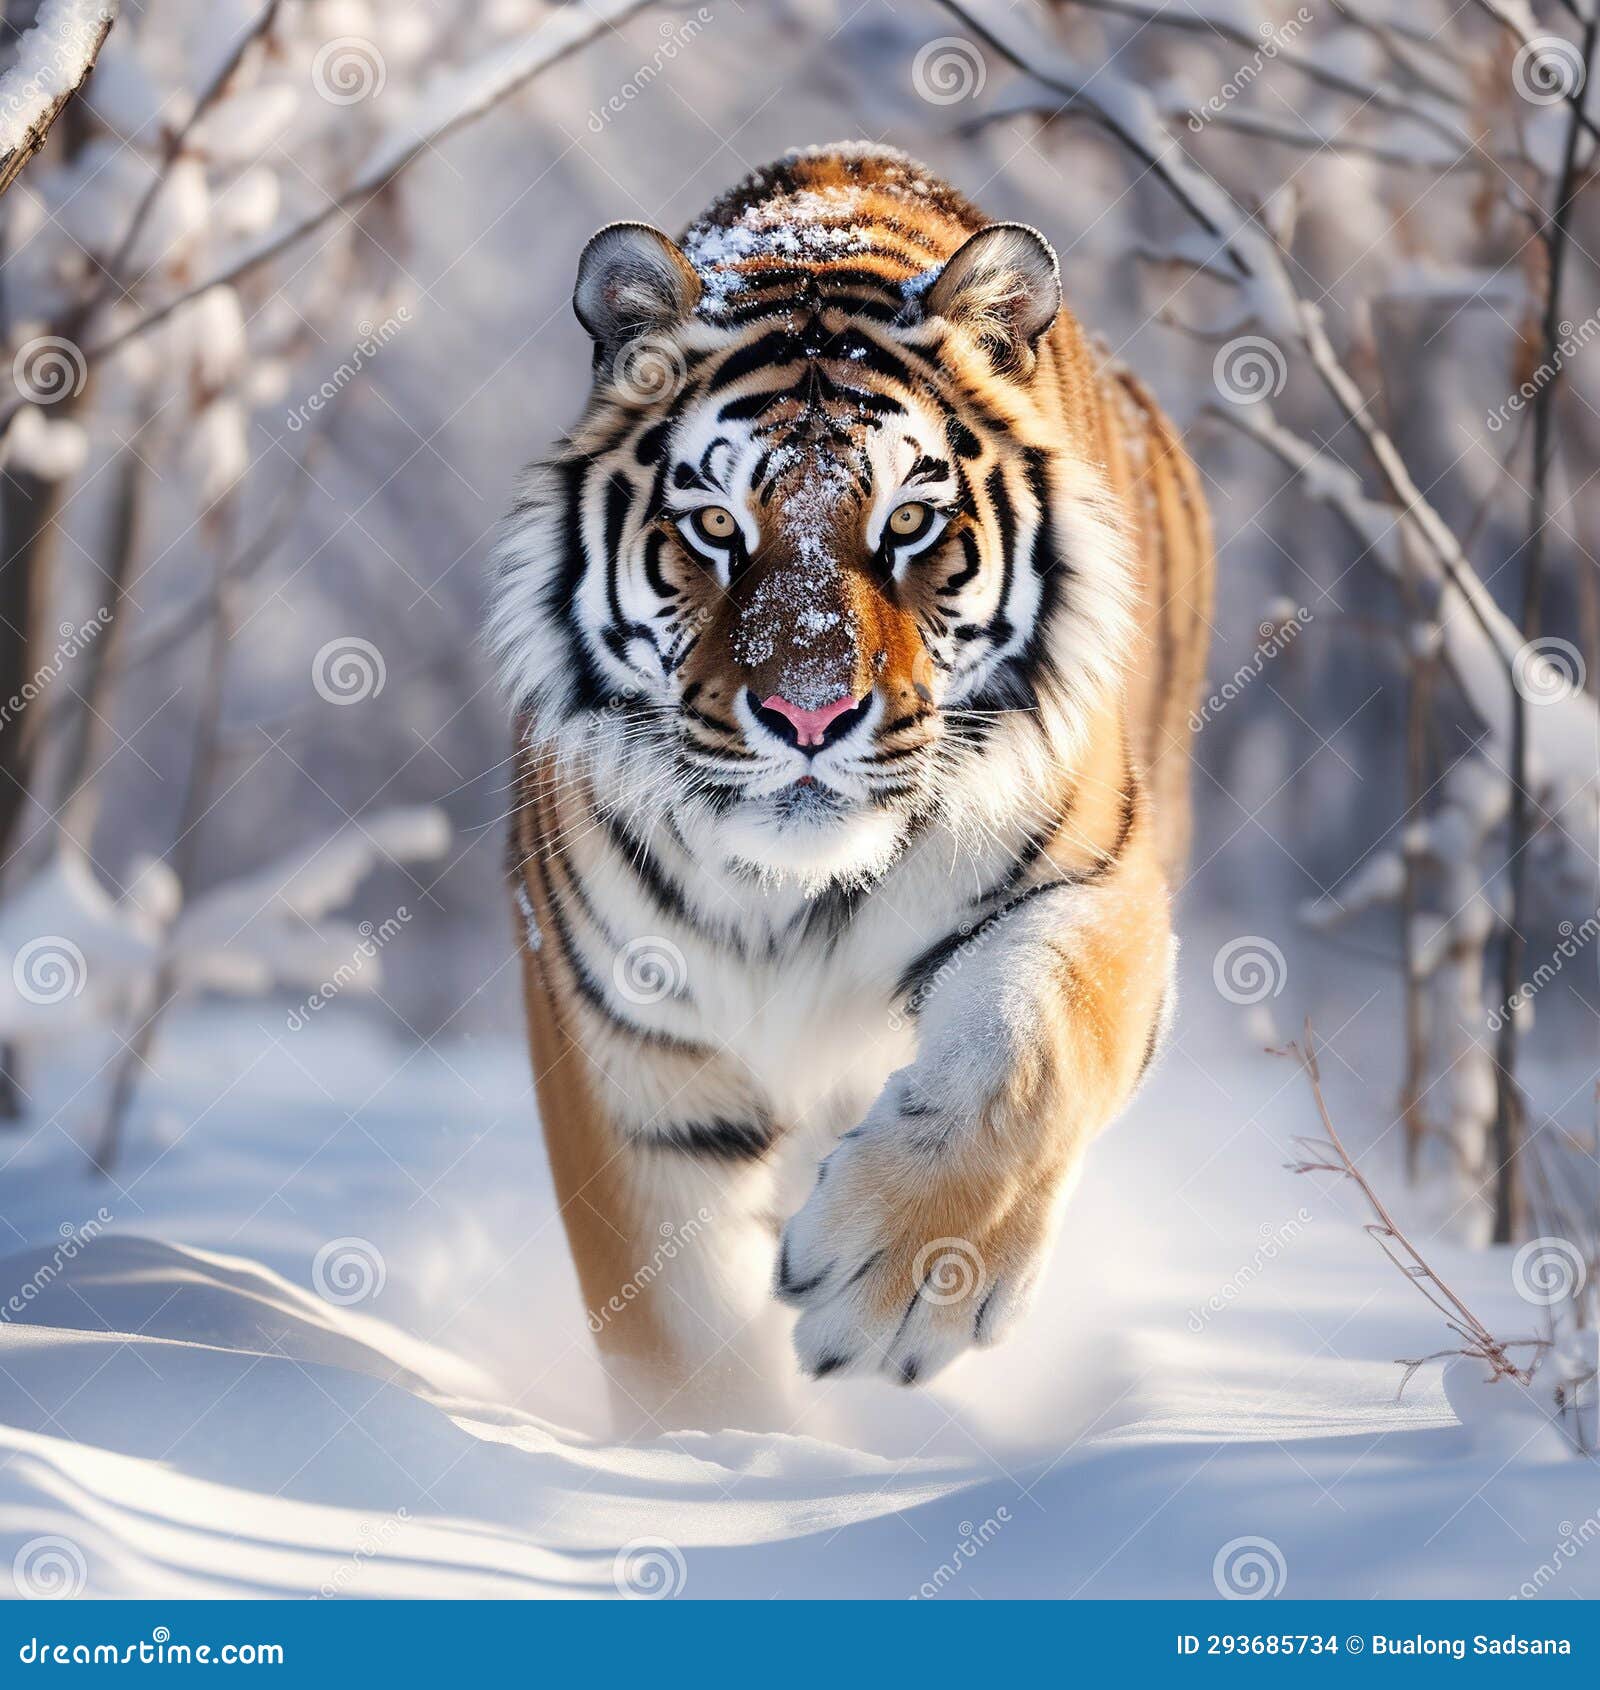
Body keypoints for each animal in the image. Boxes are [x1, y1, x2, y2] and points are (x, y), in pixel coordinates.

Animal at [490, 143, 1213, 1434]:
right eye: (713, 523)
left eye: (910, 521)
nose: (810, 715)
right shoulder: (619, 1030)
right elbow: (675, 1318)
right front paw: (726, 1459)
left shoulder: (1102, 881)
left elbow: (1029, 1052)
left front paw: (895, 1288)